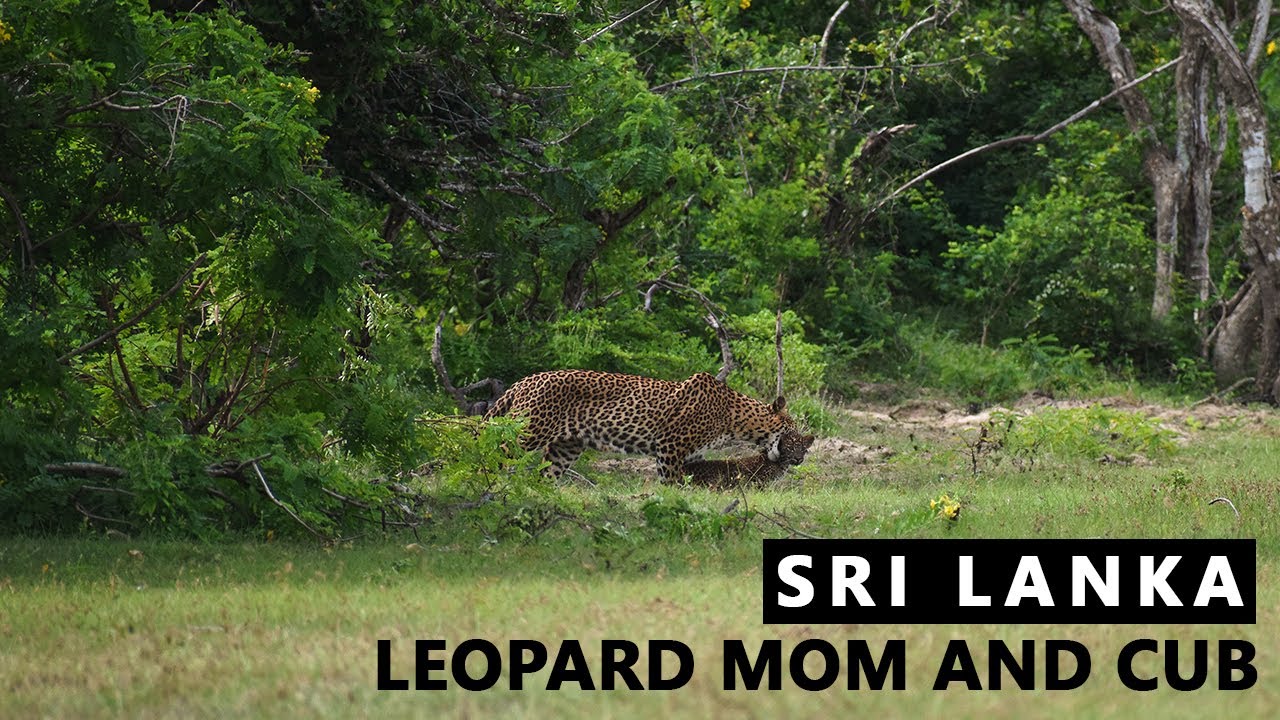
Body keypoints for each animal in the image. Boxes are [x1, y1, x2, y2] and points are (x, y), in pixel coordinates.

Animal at [482, 369, 796, 481]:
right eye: (792, 430)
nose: (799, 452)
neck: (734, 418)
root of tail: (524, 381)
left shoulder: (693, 454)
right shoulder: (671, 445)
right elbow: (672, 481)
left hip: (565, 447)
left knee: (546, 475)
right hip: (527, 434)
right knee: (491, 451)